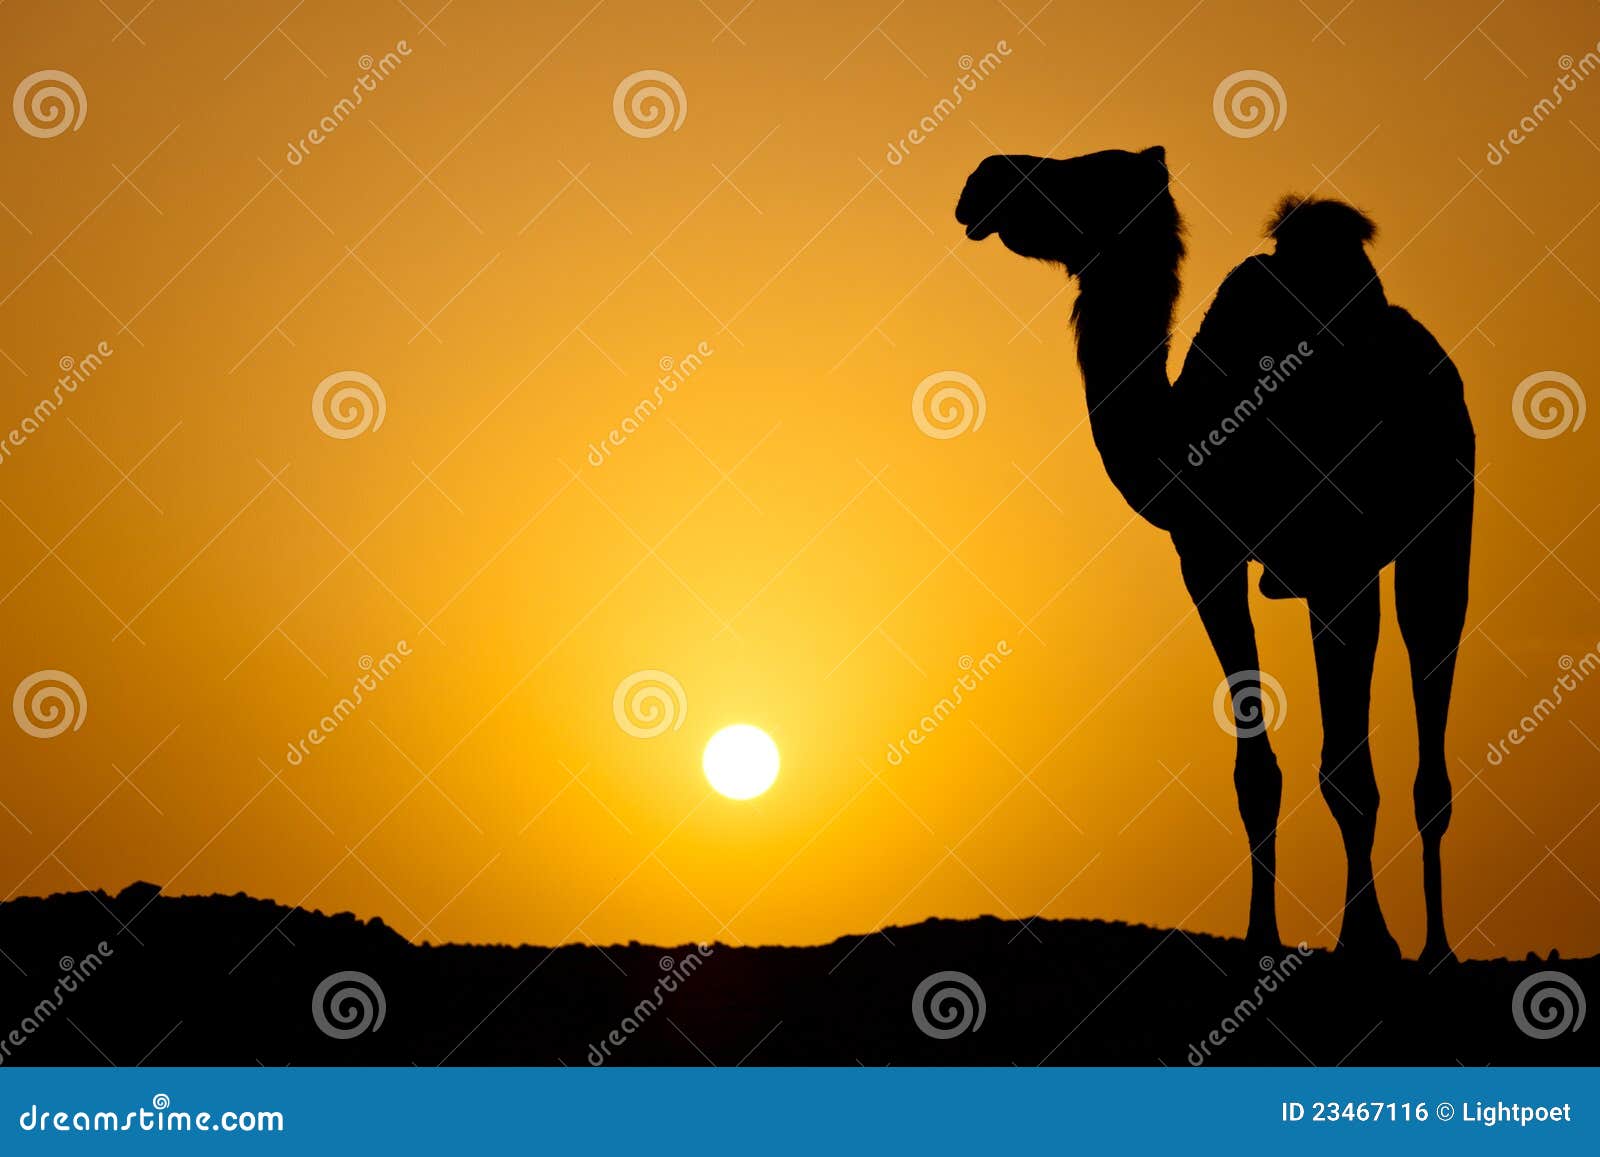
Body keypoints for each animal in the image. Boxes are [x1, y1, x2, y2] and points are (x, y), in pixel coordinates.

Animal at [955, 147, 1475, 964]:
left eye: (1090, 172)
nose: (983, 181)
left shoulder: (1337, 567)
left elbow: (1348, 772)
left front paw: (1367, 939)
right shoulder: (1208, 557)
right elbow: (1256, 774)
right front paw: (1261, 935)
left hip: (1442, 534)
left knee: (1428, 721)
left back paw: (1436, 947)